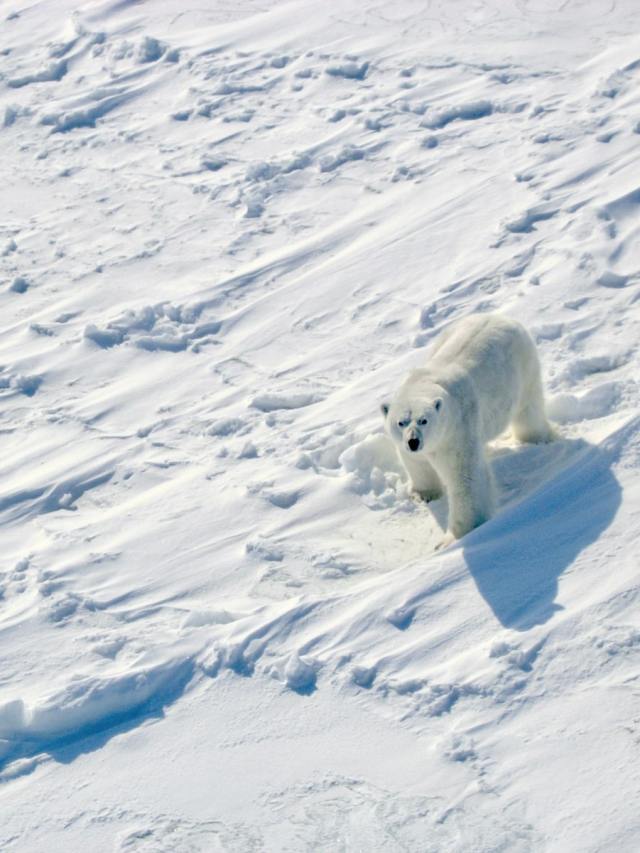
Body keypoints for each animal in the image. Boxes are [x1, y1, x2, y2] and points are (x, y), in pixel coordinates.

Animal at [381, 312, 555, 545]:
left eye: (424, 420)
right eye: (401, 422)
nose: (413, 441)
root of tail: (500, 317)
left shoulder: (457, 429)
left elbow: (464, 476)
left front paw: (455, 536)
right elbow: (417, 464)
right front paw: (425, 494)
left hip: (524, 366)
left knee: (528, 410)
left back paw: (538, 437)